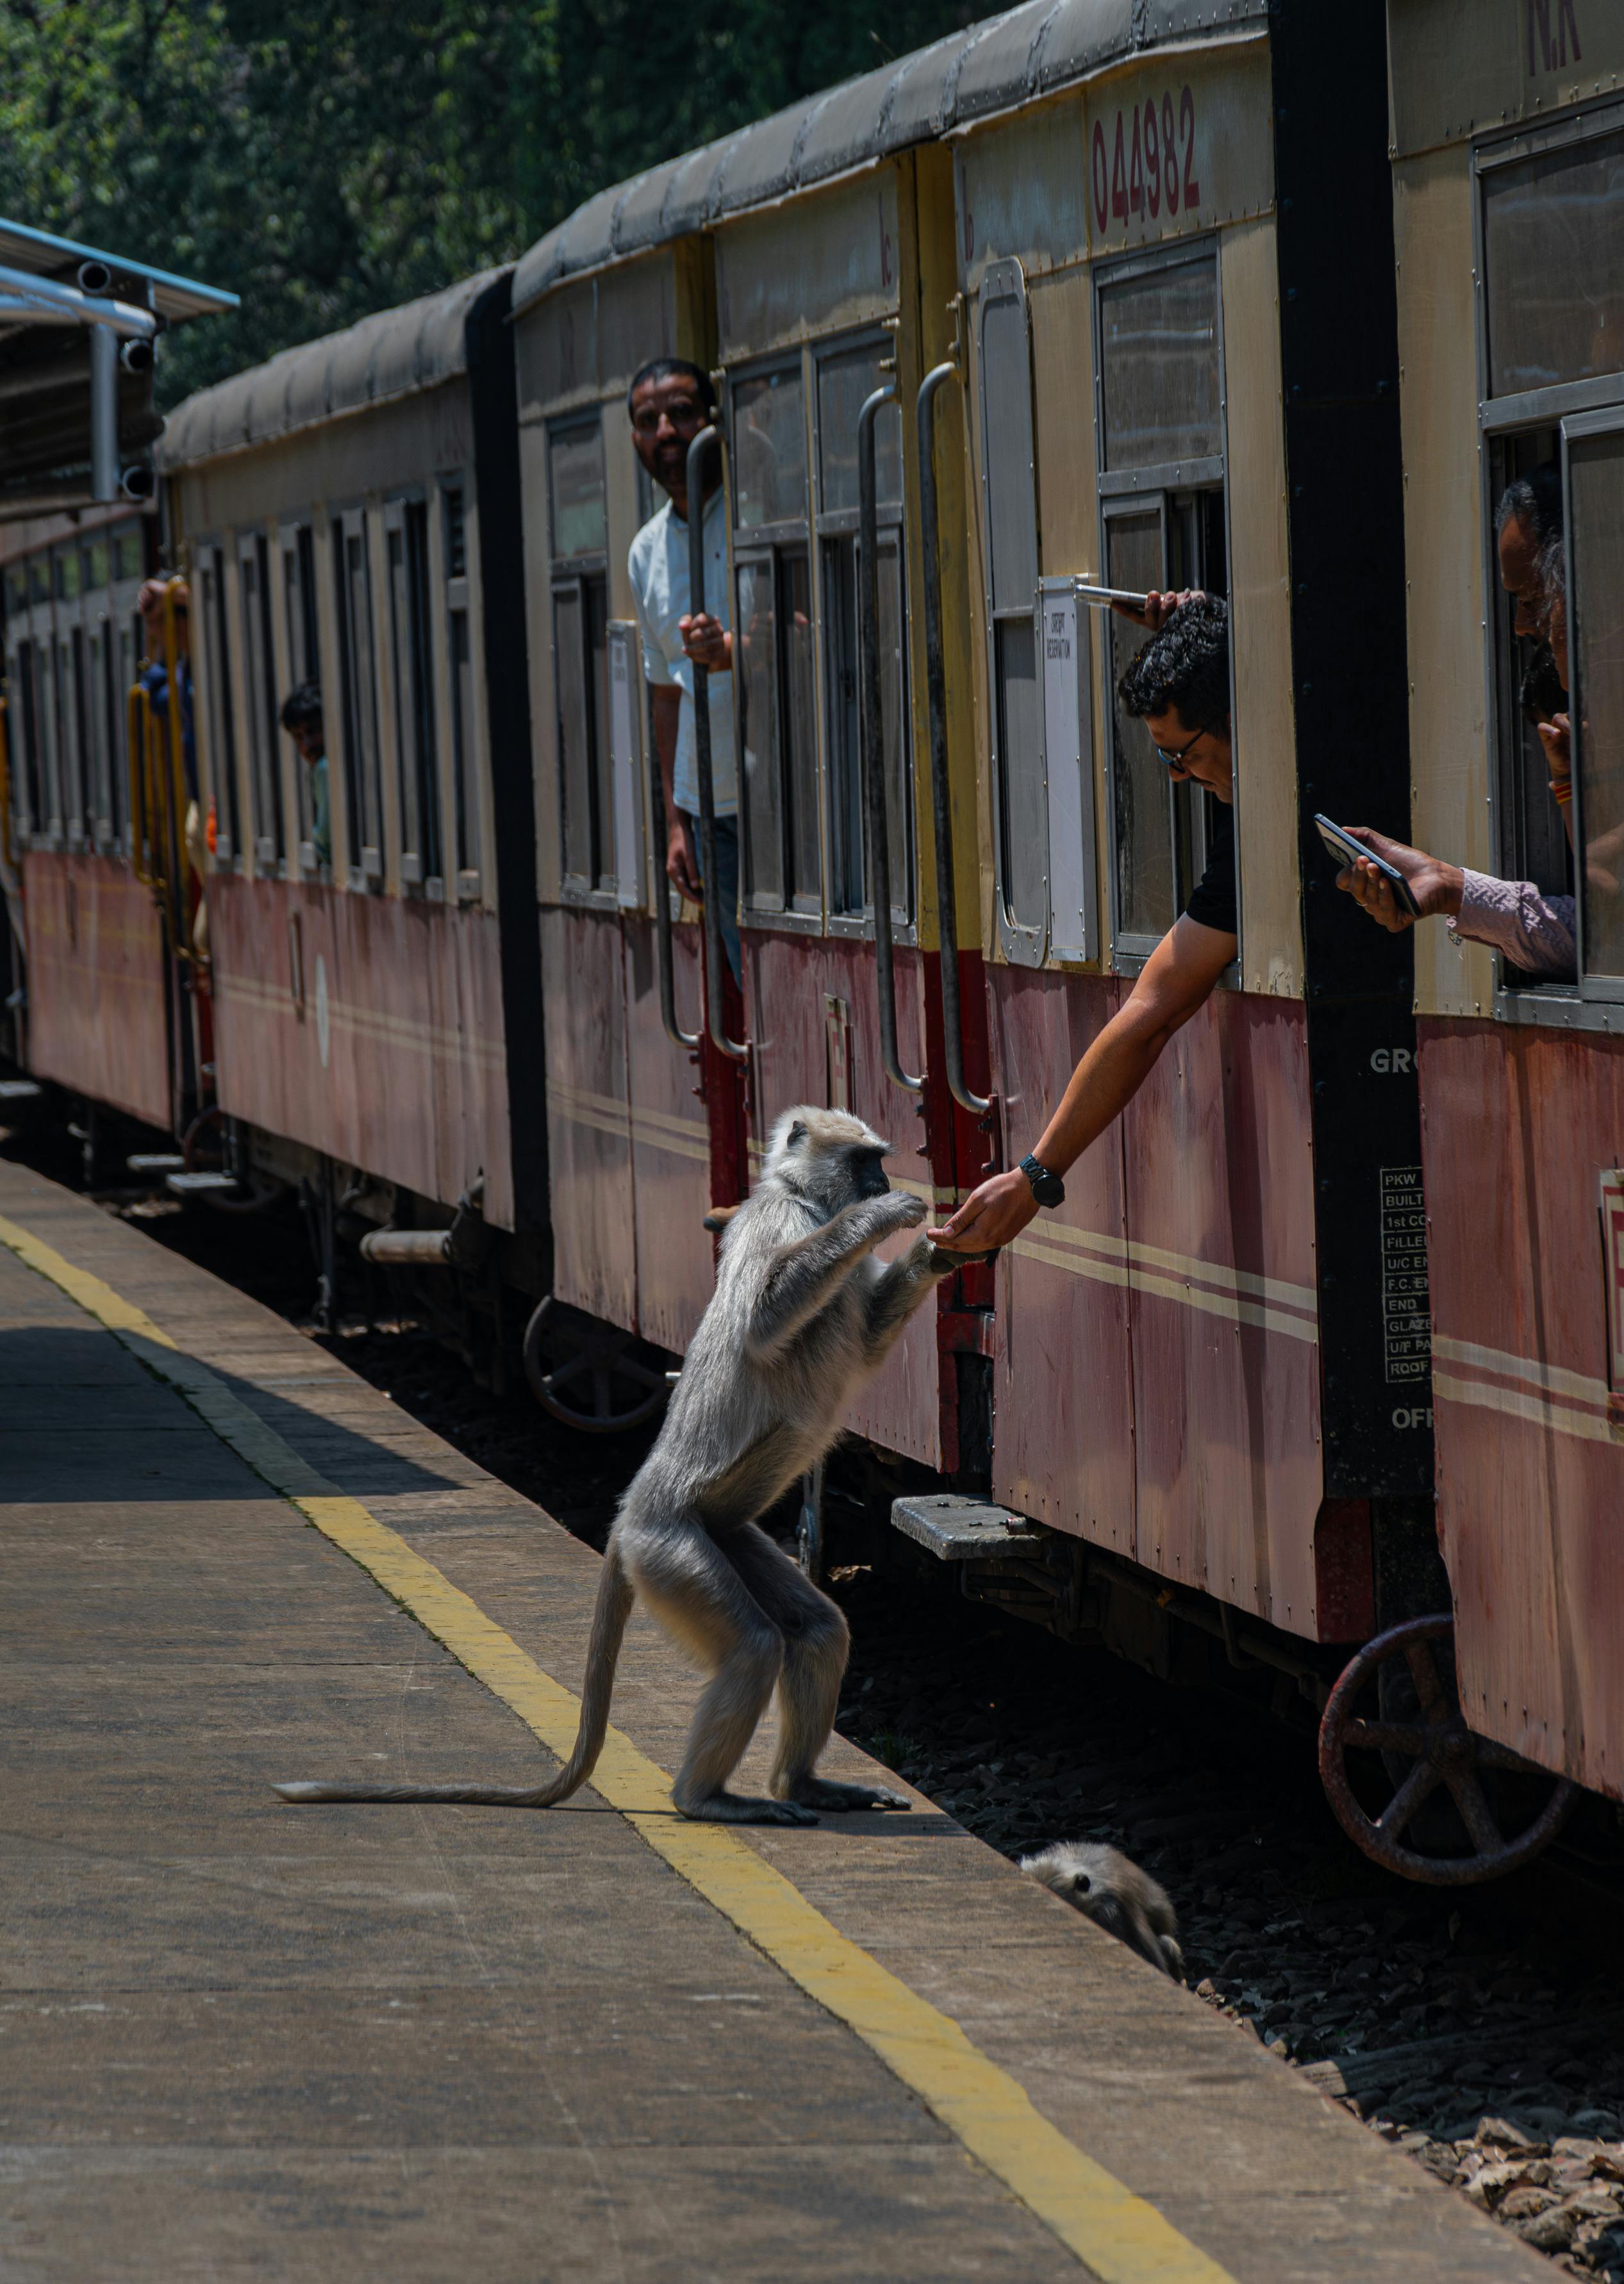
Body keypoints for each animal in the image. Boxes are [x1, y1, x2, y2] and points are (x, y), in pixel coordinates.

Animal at [277, 1106, 977, 1825]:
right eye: (864, 1162)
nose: (881, 1181)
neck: (802, 1197)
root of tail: (627, 1512)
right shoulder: (775, 1222)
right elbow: (762, 1320)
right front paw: (881, 1218)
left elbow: (864, 1343)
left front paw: (948, 1249)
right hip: (667, 1546)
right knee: (754, 1648)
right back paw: (705, 1799)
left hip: (720, 1530)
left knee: (817, 1631)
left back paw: (801, 1784)